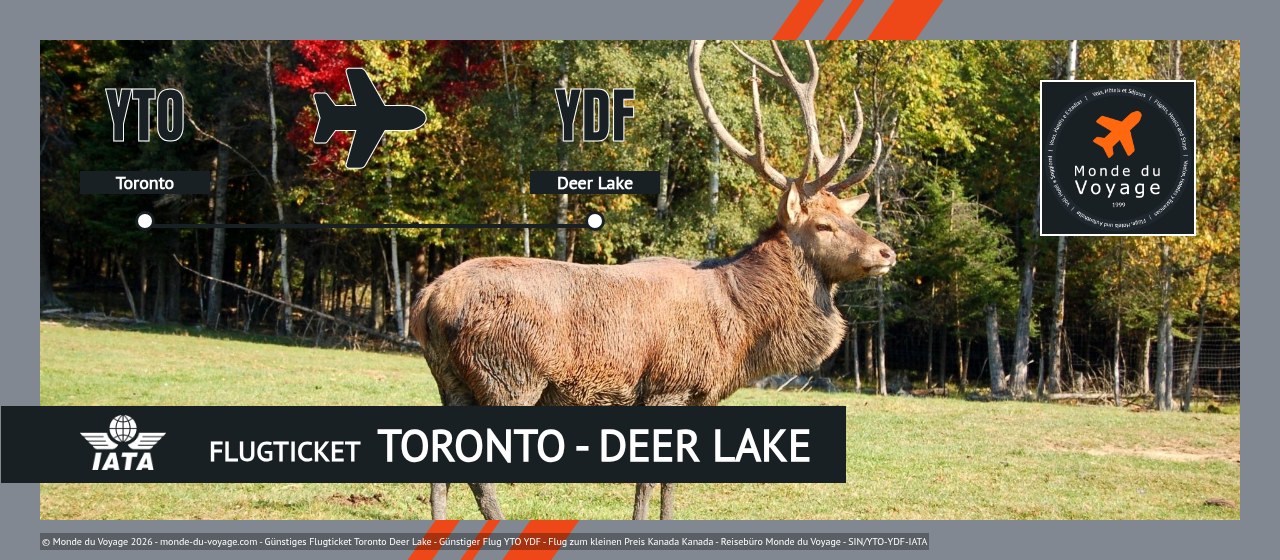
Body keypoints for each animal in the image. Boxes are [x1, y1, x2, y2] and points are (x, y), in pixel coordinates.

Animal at [409, 39, 894, 521]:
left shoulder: (693, 397)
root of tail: (427, 301)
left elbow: (670, 481)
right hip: (509, 376)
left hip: (451, 381)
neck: (739, 328)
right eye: (824, 226)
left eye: (849, 217)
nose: (886, 252)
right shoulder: (667, 385)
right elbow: (648, 481)